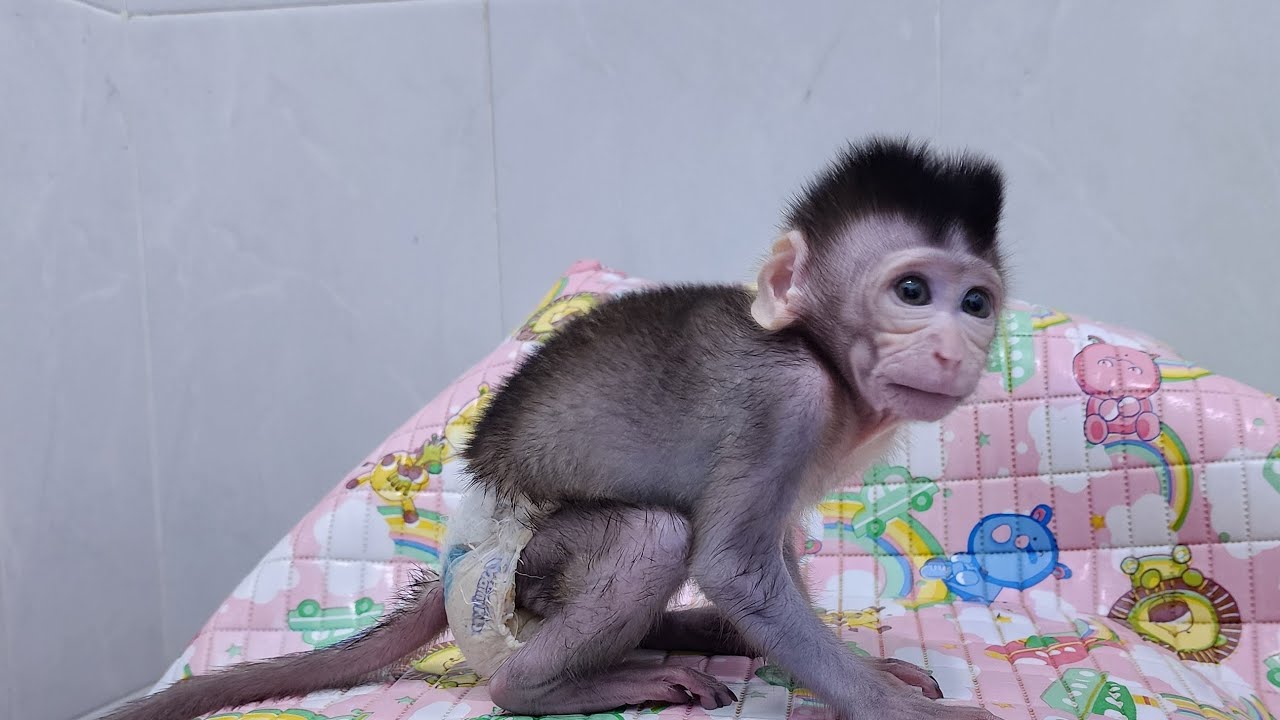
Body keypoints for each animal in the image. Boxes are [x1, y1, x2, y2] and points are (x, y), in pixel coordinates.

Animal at [103, 136, 1008, 720]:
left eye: (975, 303)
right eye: (912, 292)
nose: (954, 347)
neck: (824, 361)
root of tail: (464, 536)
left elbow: (769, 557)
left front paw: (862, 666)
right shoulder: (784, 401)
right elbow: (737, 569)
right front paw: (901, 710)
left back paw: (687, 635)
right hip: (521, 571)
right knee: (651, 538)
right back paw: (559, 684)